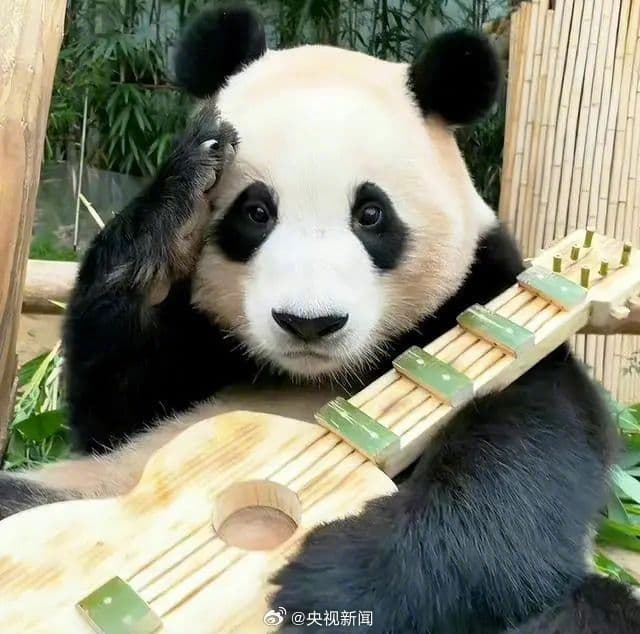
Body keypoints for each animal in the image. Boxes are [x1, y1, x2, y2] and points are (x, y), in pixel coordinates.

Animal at [2, 4, 640, 633]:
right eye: (255, 212)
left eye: (371, 214)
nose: (309, 322)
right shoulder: (185, 354)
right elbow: (110, 408)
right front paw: (180, 204)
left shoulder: (479, 295)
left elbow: (524, 451)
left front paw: (325, 586)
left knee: (593, 610)